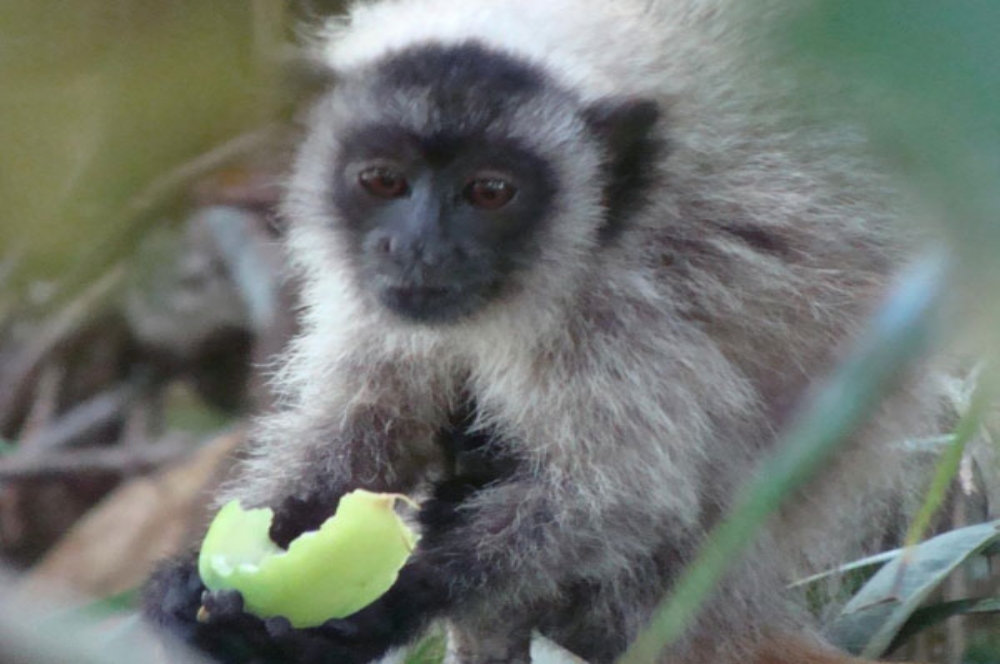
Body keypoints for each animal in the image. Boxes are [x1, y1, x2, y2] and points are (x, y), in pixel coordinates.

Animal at [143, 1, 944, 663]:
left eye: (490, 192)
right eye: (382, 181)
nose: (420, 248)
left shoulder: (617, 306)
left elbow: (623, 497)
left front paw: (393, 602)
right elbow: (367, 427)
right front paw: (195, 585)